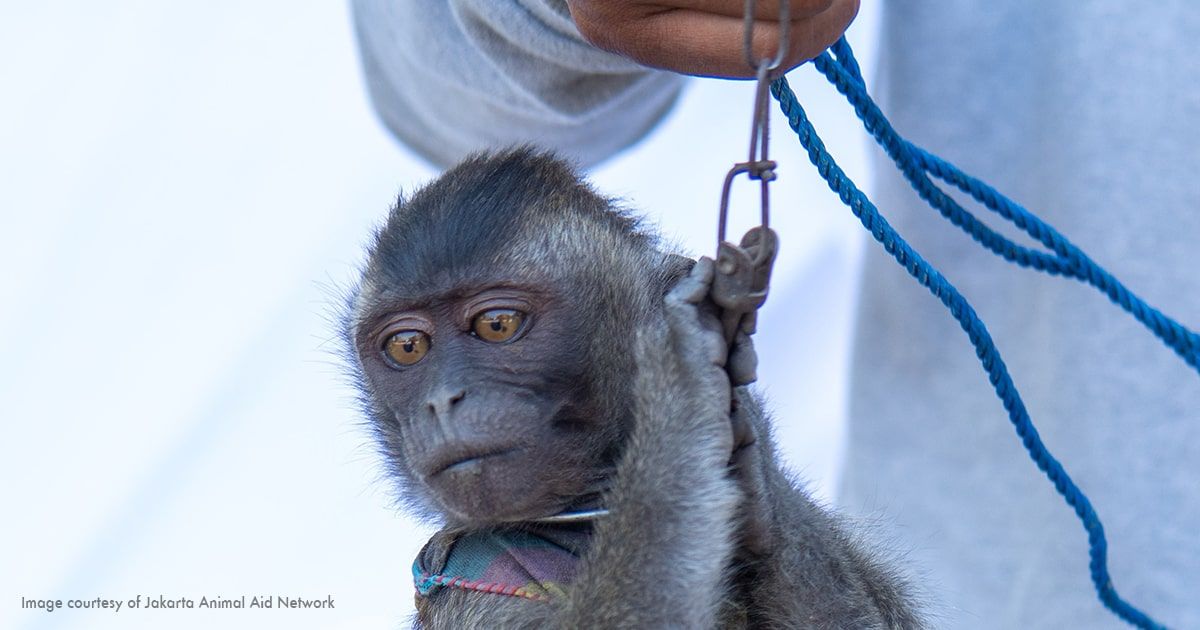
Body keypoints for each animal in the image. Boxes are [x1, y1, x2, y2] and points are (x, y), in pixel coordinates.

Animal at [341, 148, 922, 629]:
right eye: (408, 347)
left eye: (497, 325)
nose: (442, 401)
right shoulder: (469, 578)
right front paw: (678, 381)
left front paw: (757, 483)